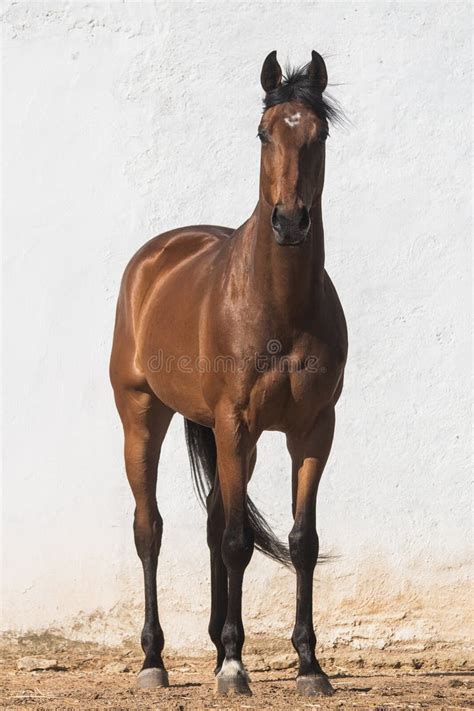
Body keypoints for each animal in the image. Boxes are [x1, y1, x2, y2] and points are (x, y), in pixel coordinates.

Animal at [110, 49, 347, 697]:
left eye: (318, 135)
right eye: (264, 133)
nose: (289, 222)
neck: (280, 304)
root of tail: (153, 258)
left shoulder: (312, 430)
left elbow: (301, 541)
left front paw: (309, 666)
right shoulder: (234, 425)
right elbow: (240, 542)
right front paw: (236, 669)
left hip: (234, 437)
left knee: (216, 520)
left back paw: (217, 645)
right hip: (143, 415)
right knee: (150, 528)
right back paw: (154, 661)